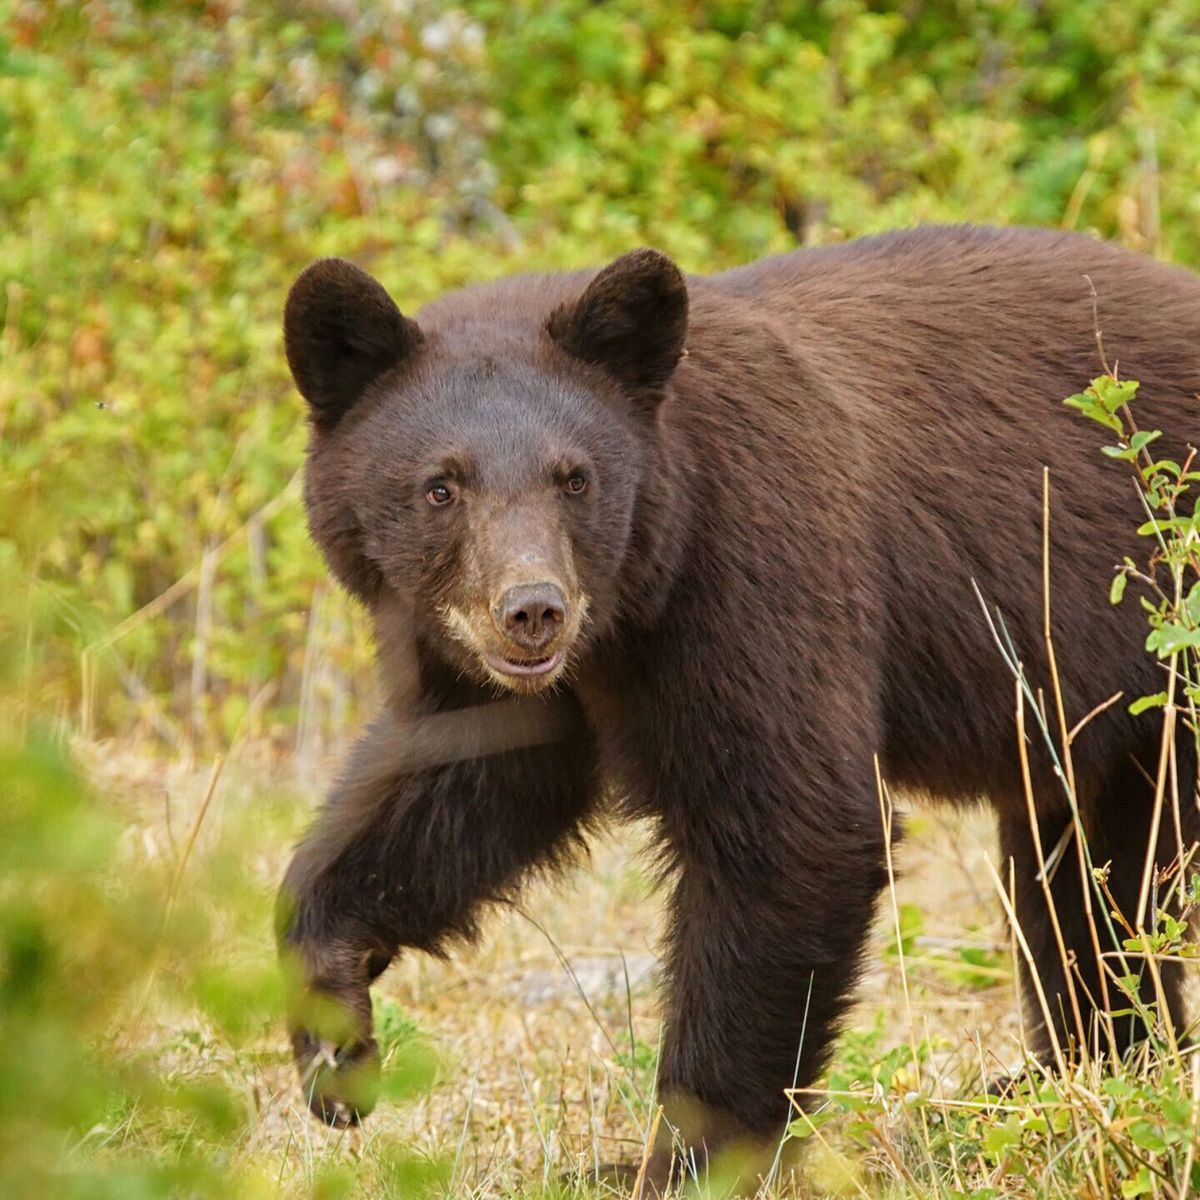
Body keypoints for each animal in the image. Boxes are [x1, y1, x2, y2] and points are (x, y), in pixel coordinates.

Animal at [277, 225, 1200, 1191]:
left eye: (575, 479)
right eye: (440, 486)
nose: (532, 609)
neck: (632, 609)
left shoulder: (753, 566)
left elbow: (789, 830)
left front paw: (680, 1161)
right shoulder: (512, 678)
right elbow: (461, 789)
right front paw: (336, 1038)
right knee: (1080, 873)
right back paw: (1069, 1077)